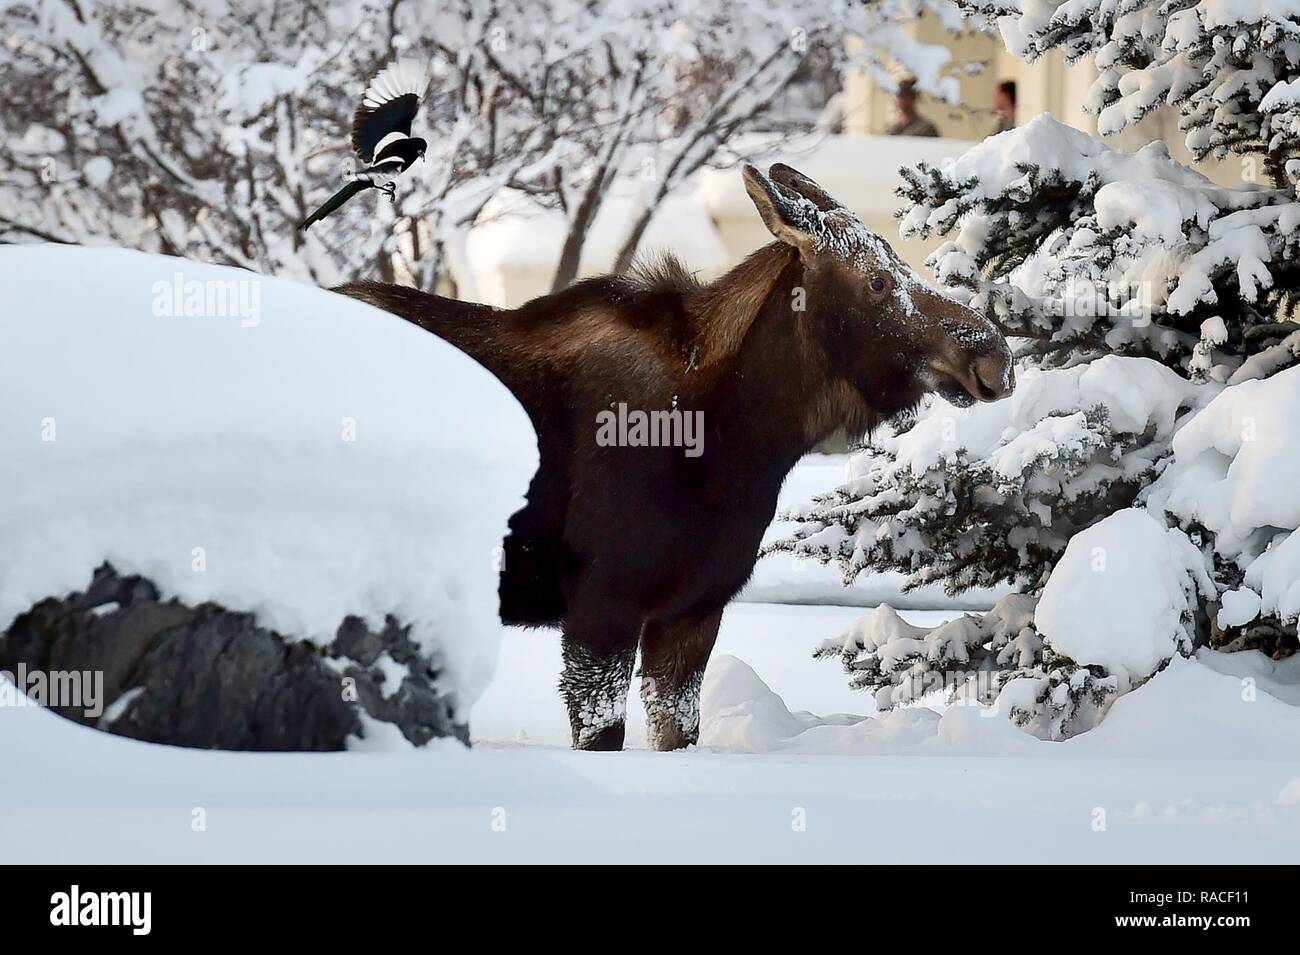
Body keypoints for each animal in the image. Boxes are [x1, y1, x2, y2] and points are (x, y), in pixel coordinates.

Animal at [336, 163, 1014, 752]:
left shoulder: (695, 607)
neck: (744, 444)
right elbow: (602, 734)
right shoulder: (601, 601)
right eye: (876, 279)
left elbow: (677, 732)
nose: (995, 354)